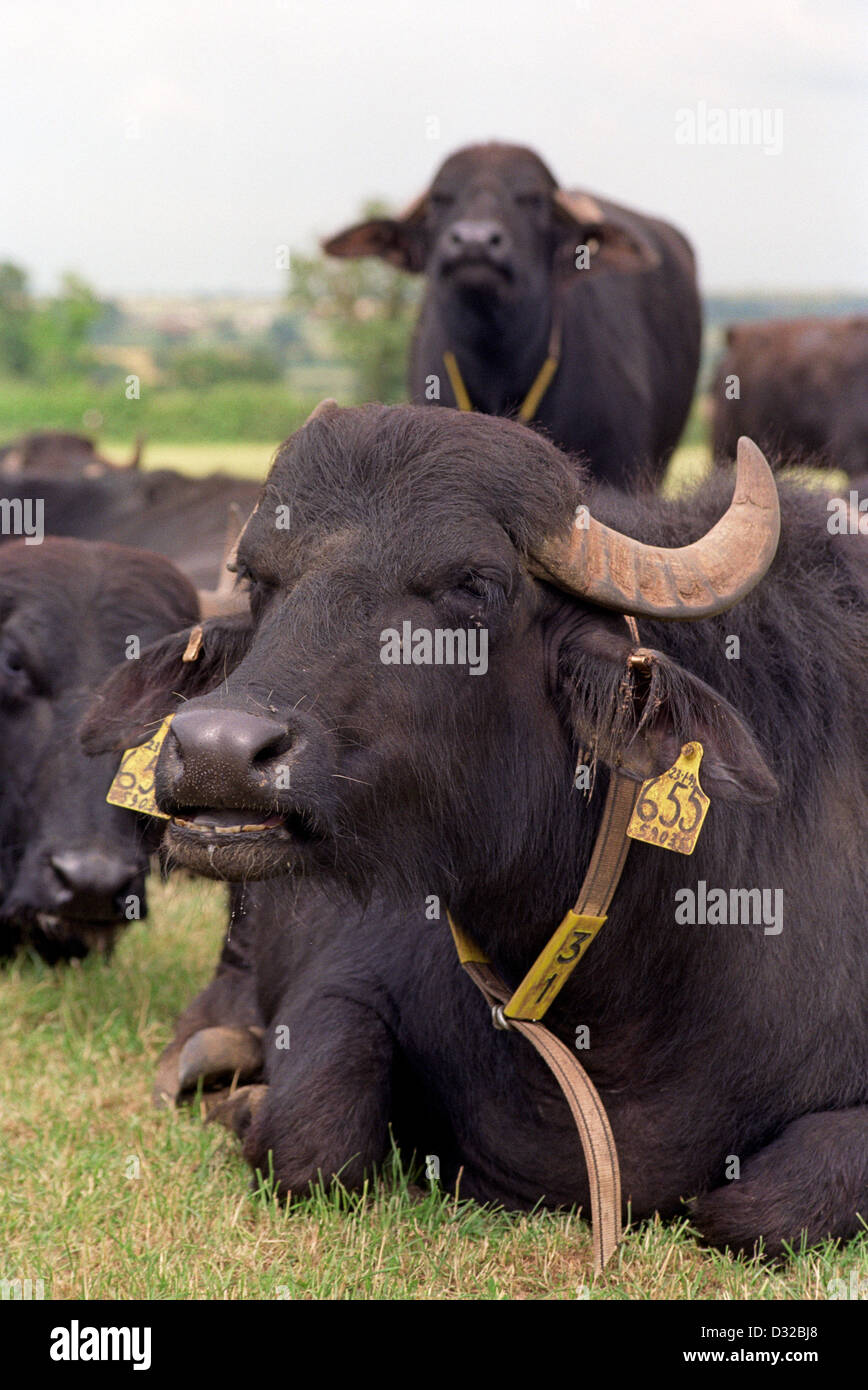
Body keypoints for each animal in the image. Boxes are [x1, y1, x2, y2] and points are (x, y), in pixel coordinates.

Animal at [84, 404, 867, 1256]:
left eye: (473, 584)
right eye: (257, 579)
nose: (217, 751)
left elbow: (763, 1205)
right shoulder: (341, 979)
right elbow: (312, 1137)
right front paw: (249, 1104)